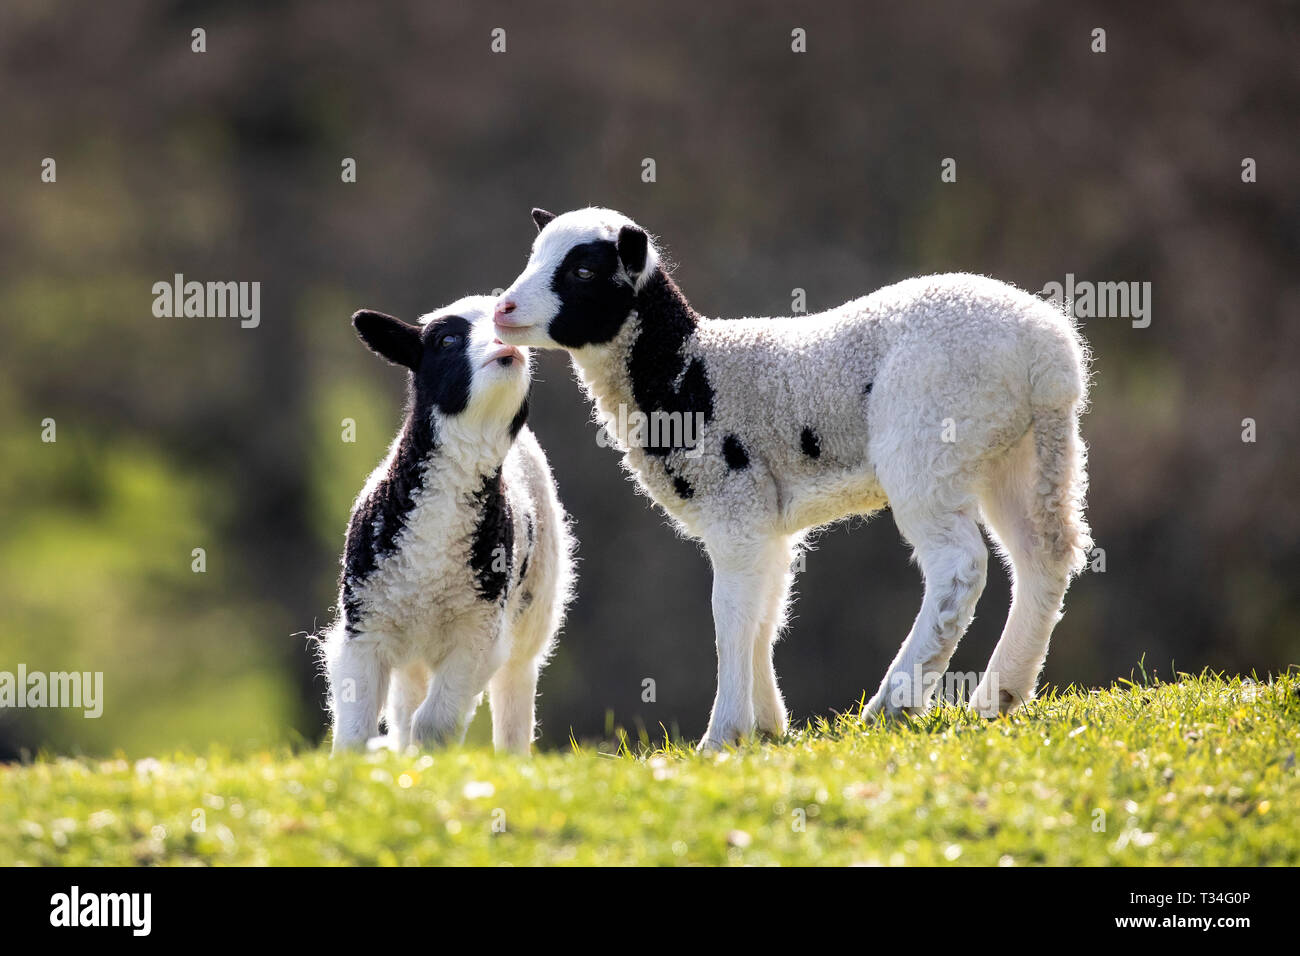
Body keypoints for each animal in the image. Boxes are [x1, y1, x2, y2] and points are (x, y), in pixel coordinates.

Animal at [322, 295, 575, 755]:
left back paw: (512, 759)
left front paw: (431, 765)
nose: (506, 347)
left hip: (535, 607)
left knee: (514, 689)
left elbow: (436, 725)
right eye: (446, 340)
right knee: (406, 705)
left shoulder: (478, 631)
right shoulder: (364, 626)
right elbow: (355, 731)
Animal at [493, 207, 1091, 751]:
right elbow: (765, 613)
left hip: (929, 439)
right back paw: (1000, 695)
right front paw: (767, 728)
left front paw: (722, 736)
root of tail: (1049, 356)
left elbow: (730, 616)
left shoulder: (733, 504)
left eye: (584, 271)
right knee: (1045, 553)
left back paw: (893, 704)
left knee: (958, 566)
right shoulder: (765, 520)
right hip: (1022, 451)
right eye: (533, 254)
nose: (502, 309)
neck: (684, 370)